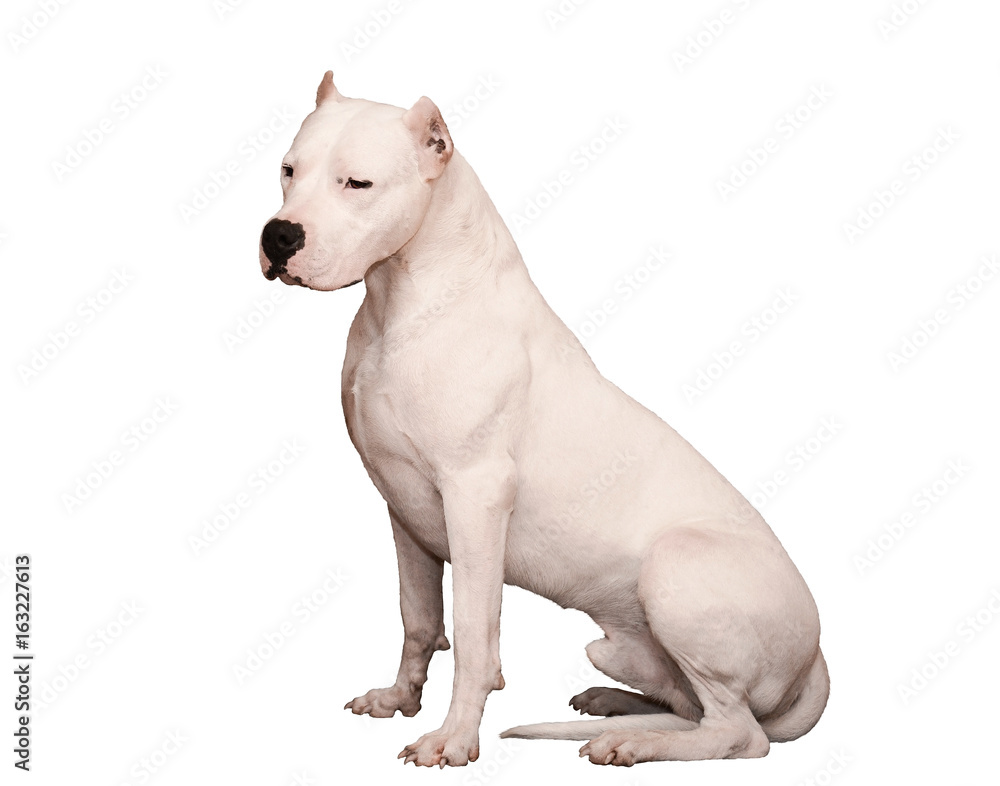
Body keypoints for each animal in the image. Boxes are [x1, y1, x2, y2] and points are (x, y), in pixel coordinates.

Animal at [258, 72, 828, 767]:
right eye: (289, 170)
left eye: (357, 184)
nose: (279, 236)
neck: (403, 299)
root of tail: (816, 662)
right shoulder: (404, 512)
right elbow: (419, 619)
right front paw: (398, 699)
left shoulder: (475, 499)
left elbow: (474, 635)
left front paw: (454, 738)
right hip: (629, 650)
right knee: (690, 708)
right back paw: (619, 709)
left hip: (677, 568)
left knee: (739, 732)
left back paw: (631, 742)